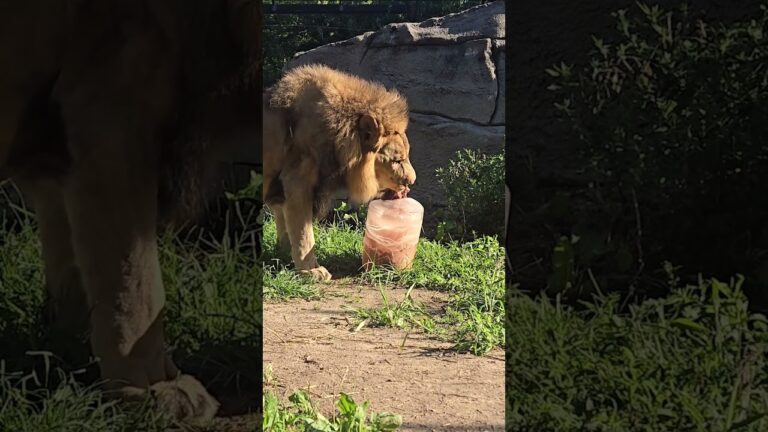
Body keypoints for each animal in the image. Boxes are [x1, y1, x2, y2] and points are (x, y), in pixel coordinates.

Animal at [263, 64, 417, 281]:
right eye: (397, 160)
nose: (412, 180)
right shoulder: (297, 182)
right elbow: (303, 232)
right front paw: (311, 270)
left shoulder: (283, 190)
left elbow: (284, 225)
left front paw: (283, 256)